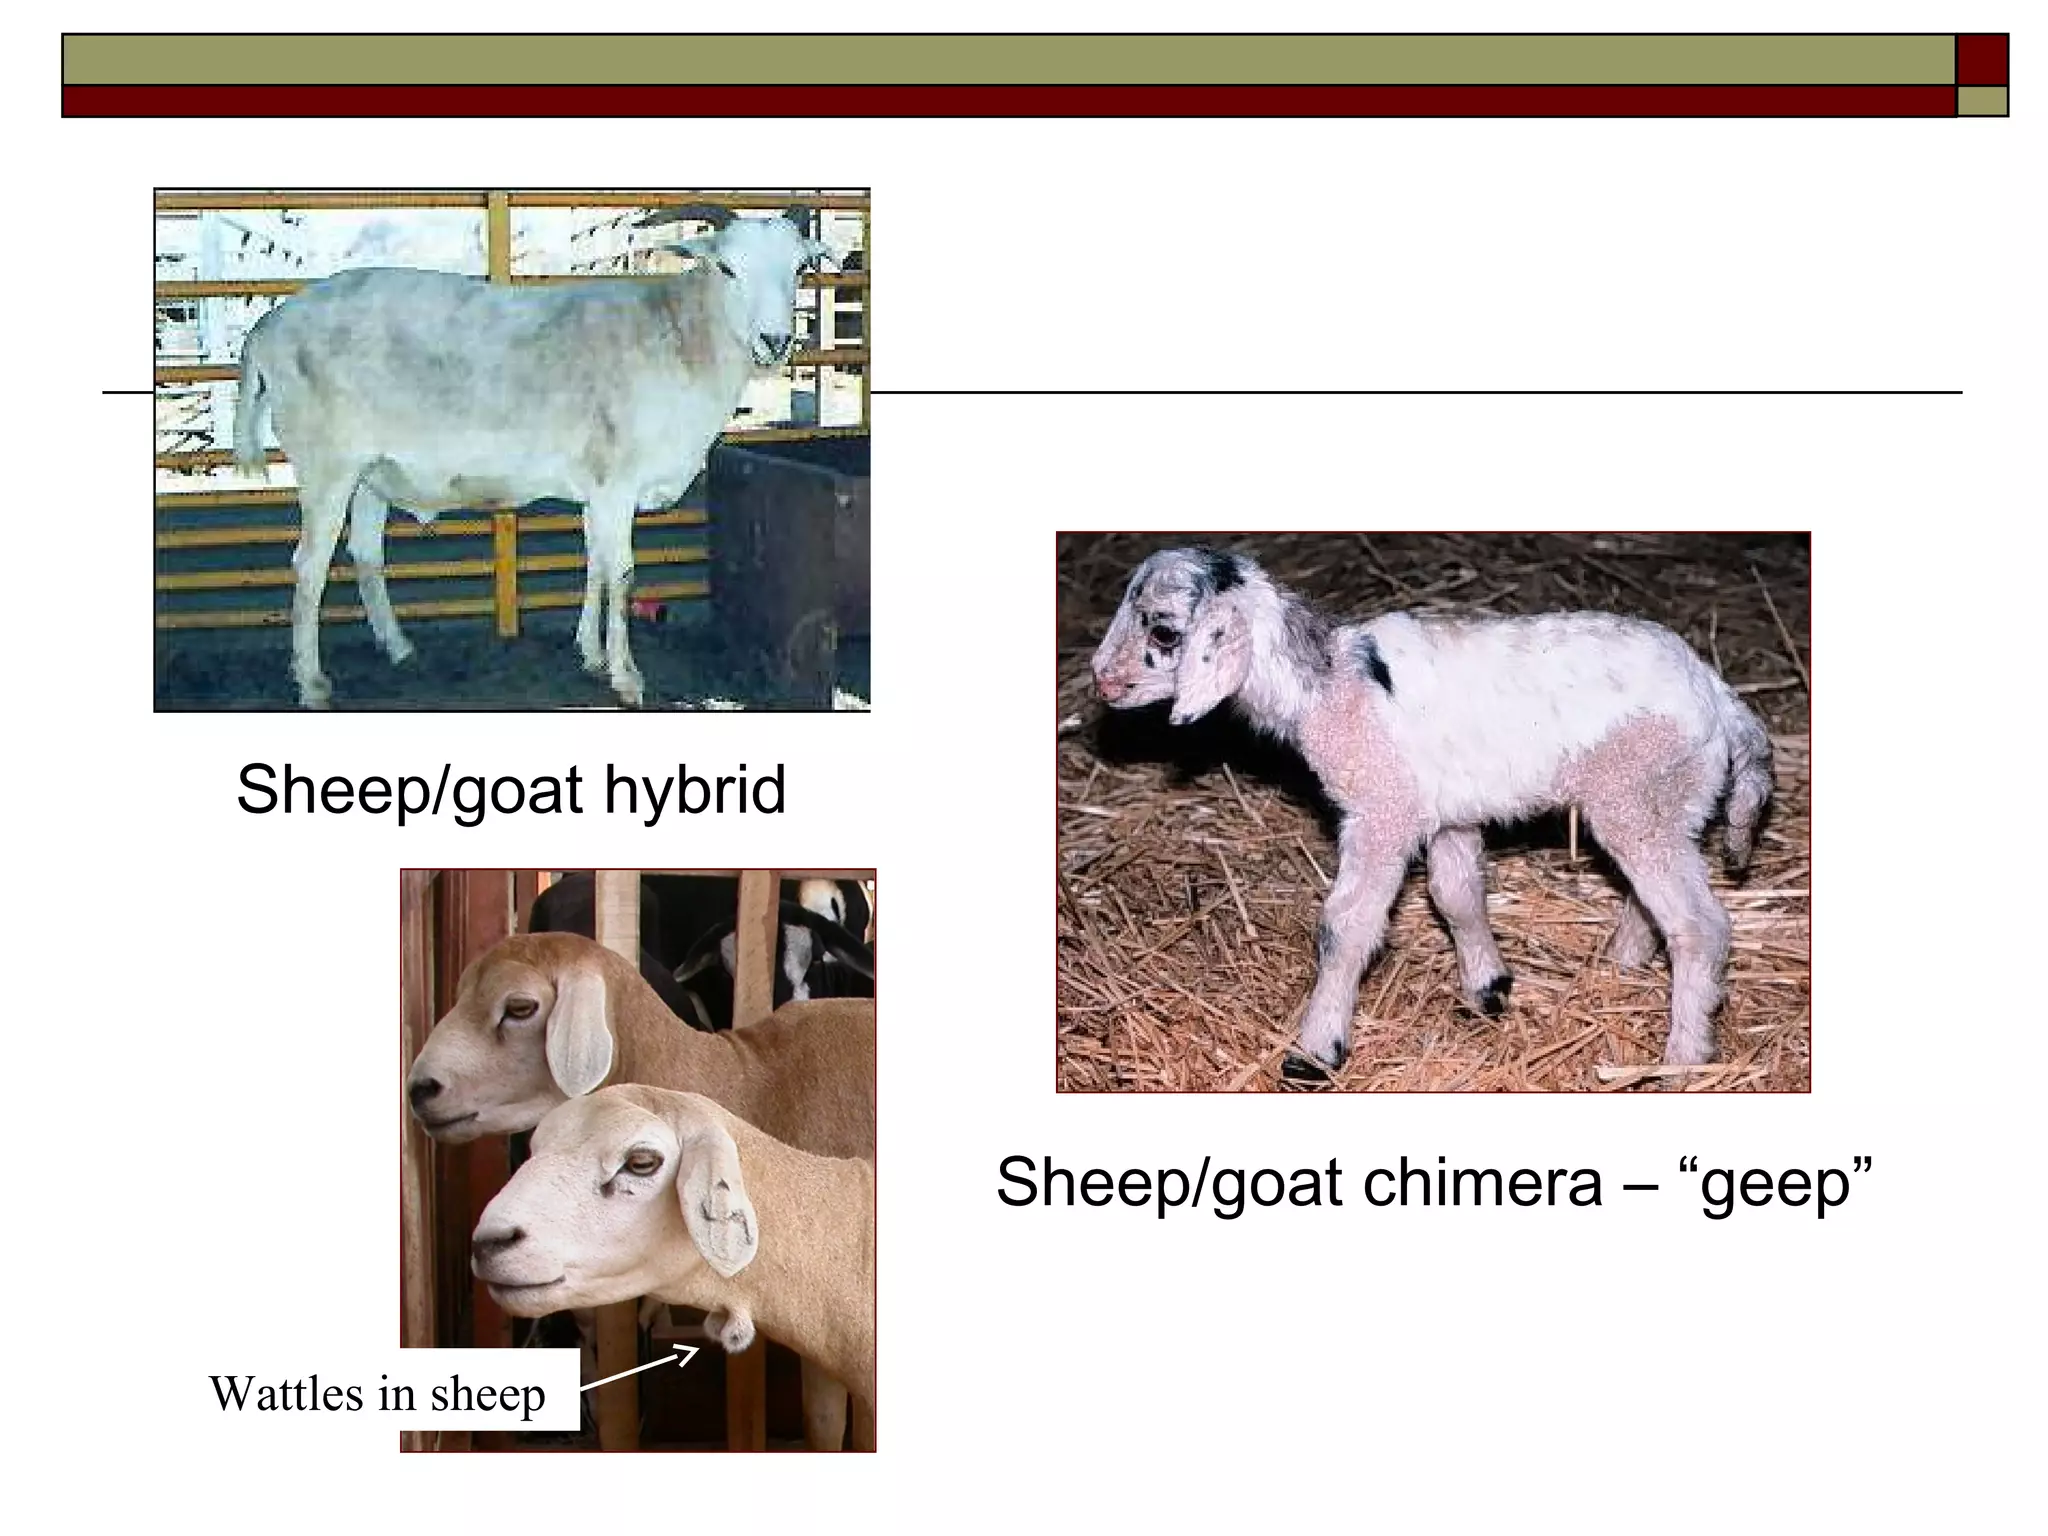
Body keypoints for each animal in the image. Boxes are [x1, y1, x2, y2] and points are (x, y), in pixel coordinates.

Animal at [232, 203, 828, 709]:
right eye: (727, 268)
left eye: (799, 267)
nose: (776, 341)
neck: (680, 340)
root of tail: (267, 328)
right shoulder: (618, 483)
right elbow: (623, 574)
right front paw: (627, 678)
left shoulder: (597, 488)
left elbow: (595, 564)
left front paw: (590, 655)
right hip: (325, 465)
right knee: (309, 567)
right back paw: (312, 685)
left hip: (369, 473)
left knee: (364, 554)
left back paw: (398, 648)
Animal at [1090, 546, 1773, 1081]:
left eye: (1163, 633)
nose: (1102, 682)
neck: (1327, 687)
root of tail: (1720, 697)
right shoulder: (1448, 814)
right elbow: (1457, 896)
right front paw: (1488, 988)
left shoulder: (1381, 812)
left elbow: (1345, 927)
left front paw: (1314, 1050)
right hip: (1660, 804)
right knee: (1655, 898)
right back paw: (1621, 962)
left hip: (1640, 793)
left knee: (1698, 924)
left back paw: (1682, 1057)